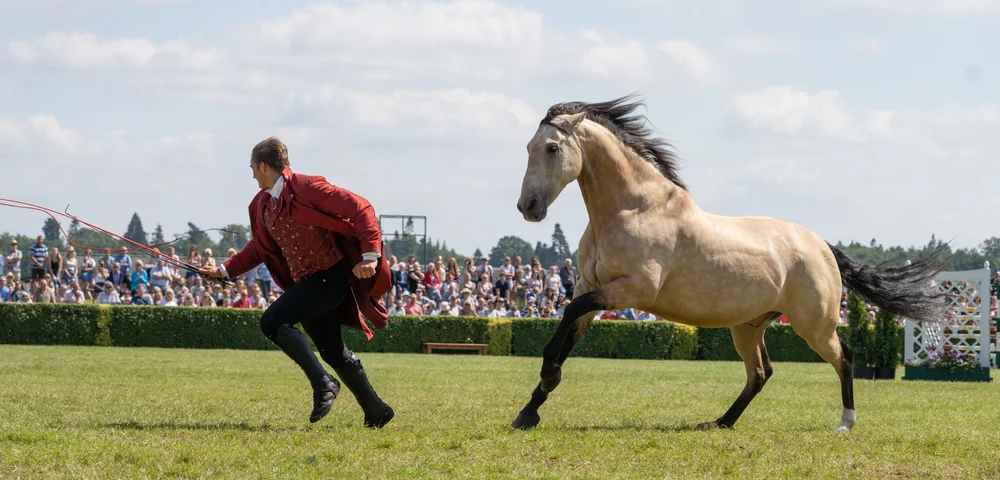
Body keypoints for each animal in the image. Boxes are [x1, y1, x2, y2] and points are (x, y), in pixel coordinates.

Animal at [511, 94, 946, 432]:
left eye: (552, 148)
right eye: (527, 147)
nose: (527, 207)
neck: (633, 207)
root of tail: (821, 244)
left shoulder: (632, 290)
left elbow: (568, 318)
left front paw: (545, 380)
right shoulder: (590, 286)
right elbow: (567, 332)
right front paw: (529, 411)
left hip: (813, 326)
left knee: (846, 358)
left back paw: (845, 422)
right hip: (747, 326)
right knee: (761, 373)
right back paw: (721, 422)